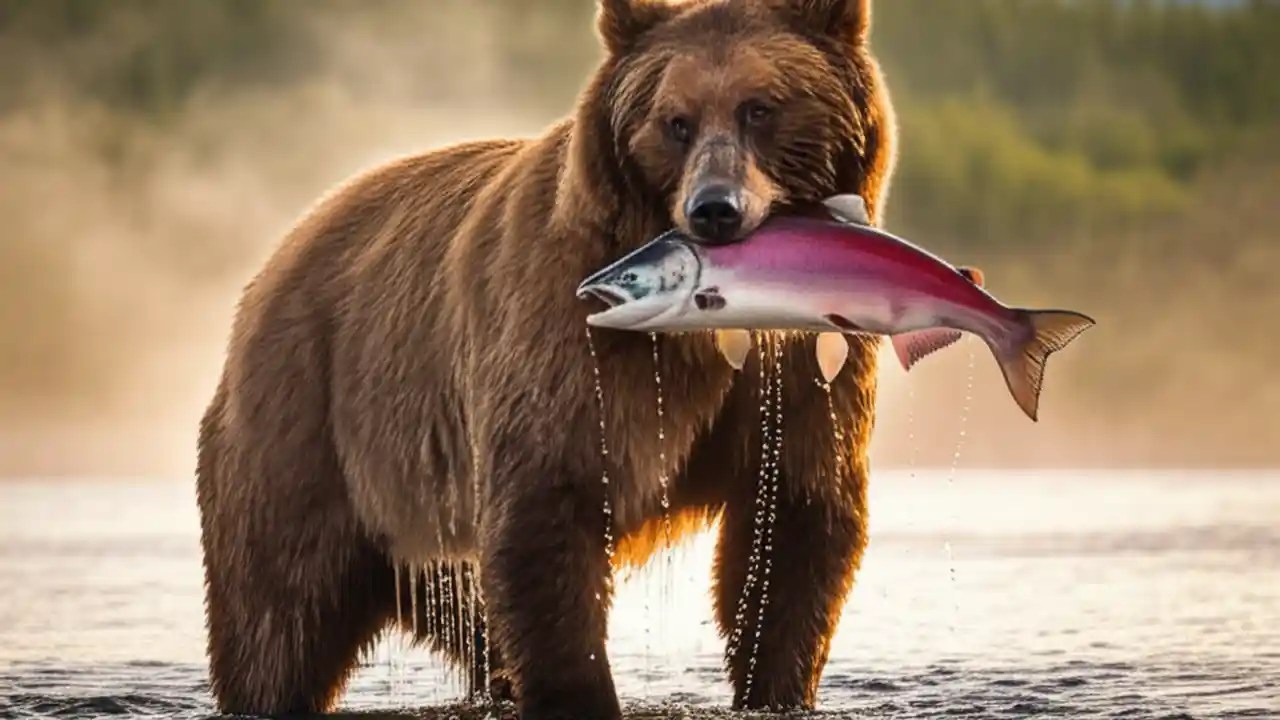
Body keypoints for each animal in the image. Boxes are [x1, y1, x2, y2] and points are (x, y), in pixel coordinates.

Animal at [195, 0, 896, 717]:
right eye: (674, 120)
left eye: (760, 107)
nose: (714, 209)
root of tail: (281, 253)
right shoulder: (570, 341)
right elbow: (549, 507)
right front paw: (583, 691)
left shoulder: (805, 371)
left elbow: (795, 522)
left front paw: (773, 684)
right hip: (311, 424)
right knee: (278, 614)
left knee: (473, 615)